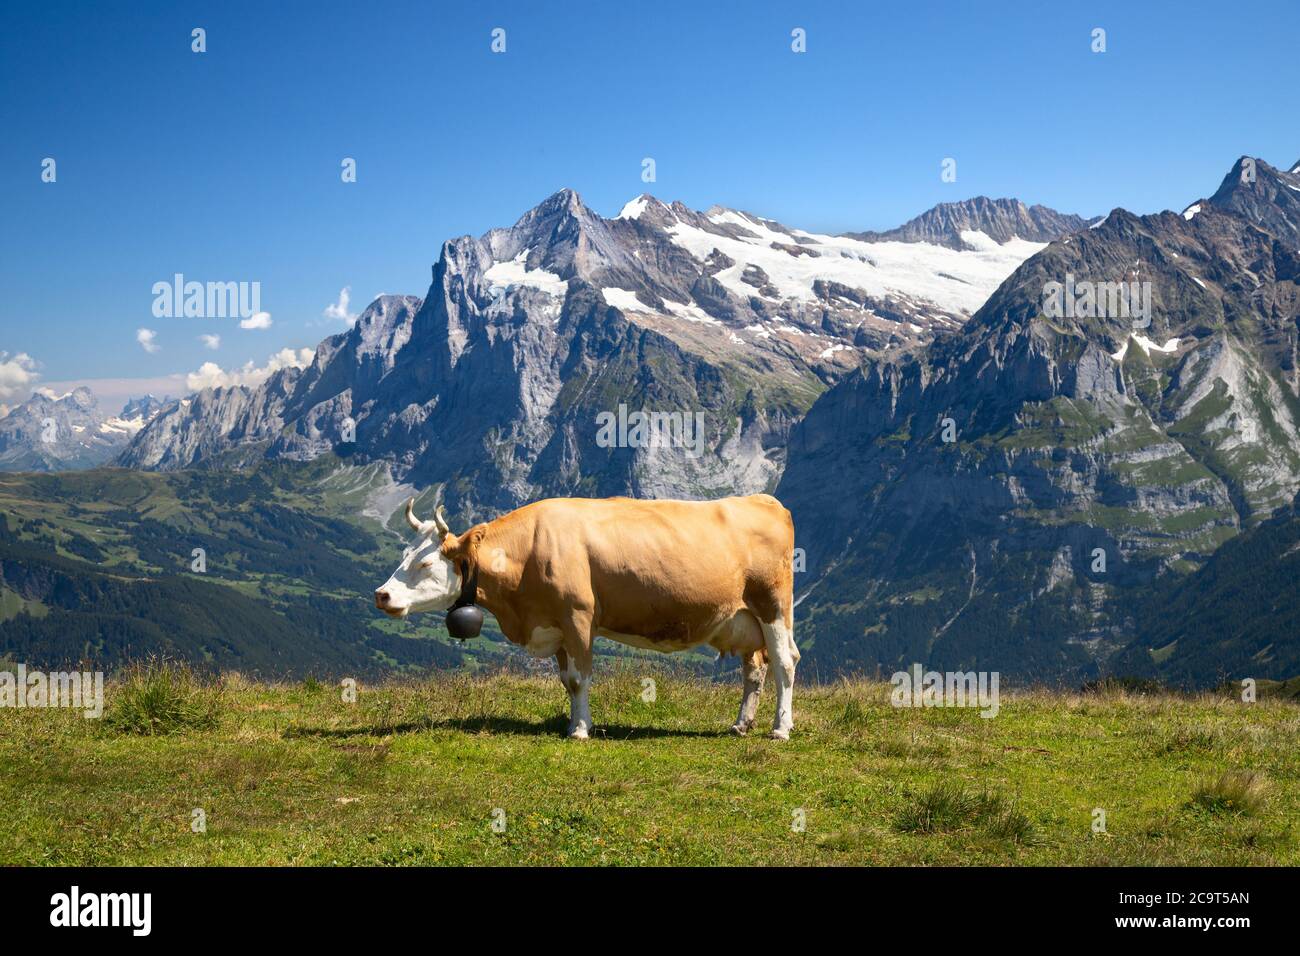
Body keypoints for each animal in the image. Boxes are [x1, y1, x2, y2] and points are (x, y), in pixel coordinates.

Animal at [374, 494, 799, 739]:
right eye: (403, 556)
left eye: (425, 563)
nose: (382, 595)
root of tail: (765, 500)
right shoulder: (556, 625)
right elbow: (566, 680)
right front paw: (573, 722)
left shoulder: (577, 615)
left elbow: (580, 678)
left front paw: (579, 730)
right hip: (743, 620)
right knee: (755, 669)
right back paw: (741, 724)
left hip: (773, 607)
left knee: (784, 663)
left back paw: (780, 728)